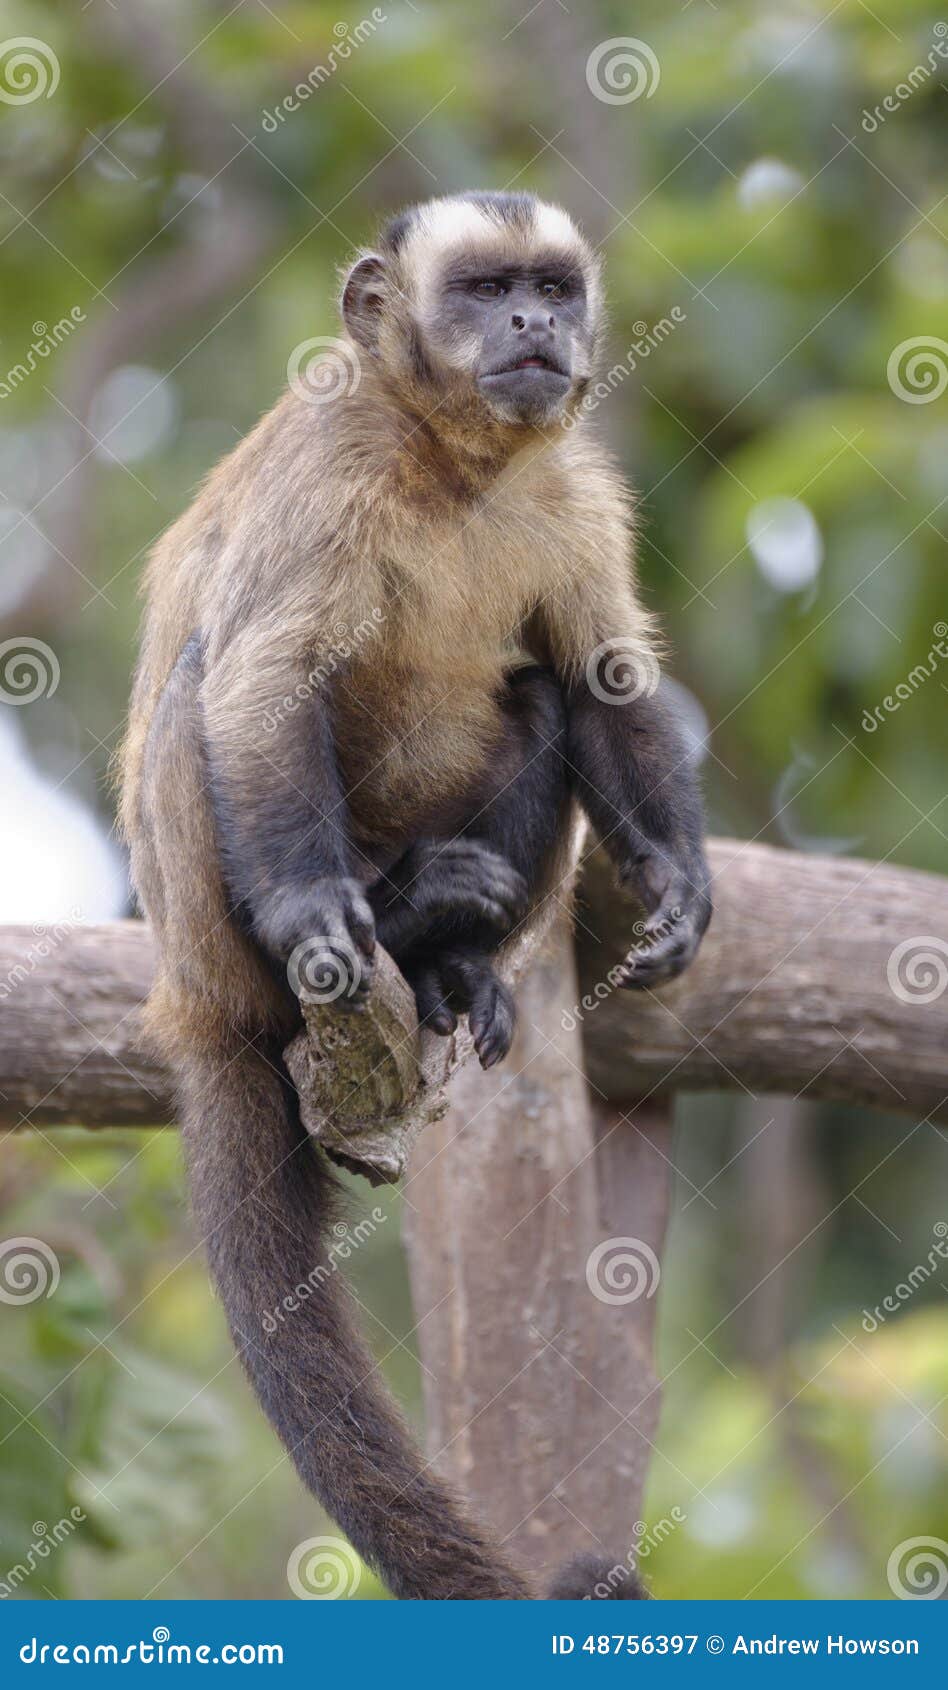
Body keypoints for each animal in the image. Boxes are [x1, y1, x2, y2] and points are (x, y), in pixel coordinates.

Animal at [119, 191, 711, 1600]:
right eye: (486, 290)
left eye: (551, 289)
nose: (533, 326)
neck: (456, 463)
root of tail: (188, 998)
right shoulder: (331, 458)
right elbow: (261, 681)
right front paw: (319, 920)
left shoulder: (573, 486)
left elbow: (600, 676)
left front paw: (678, 880)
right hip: (205, 924)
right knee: (213, 674)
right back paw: (381, 920)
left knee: (538, 691)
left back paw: (444, 951)